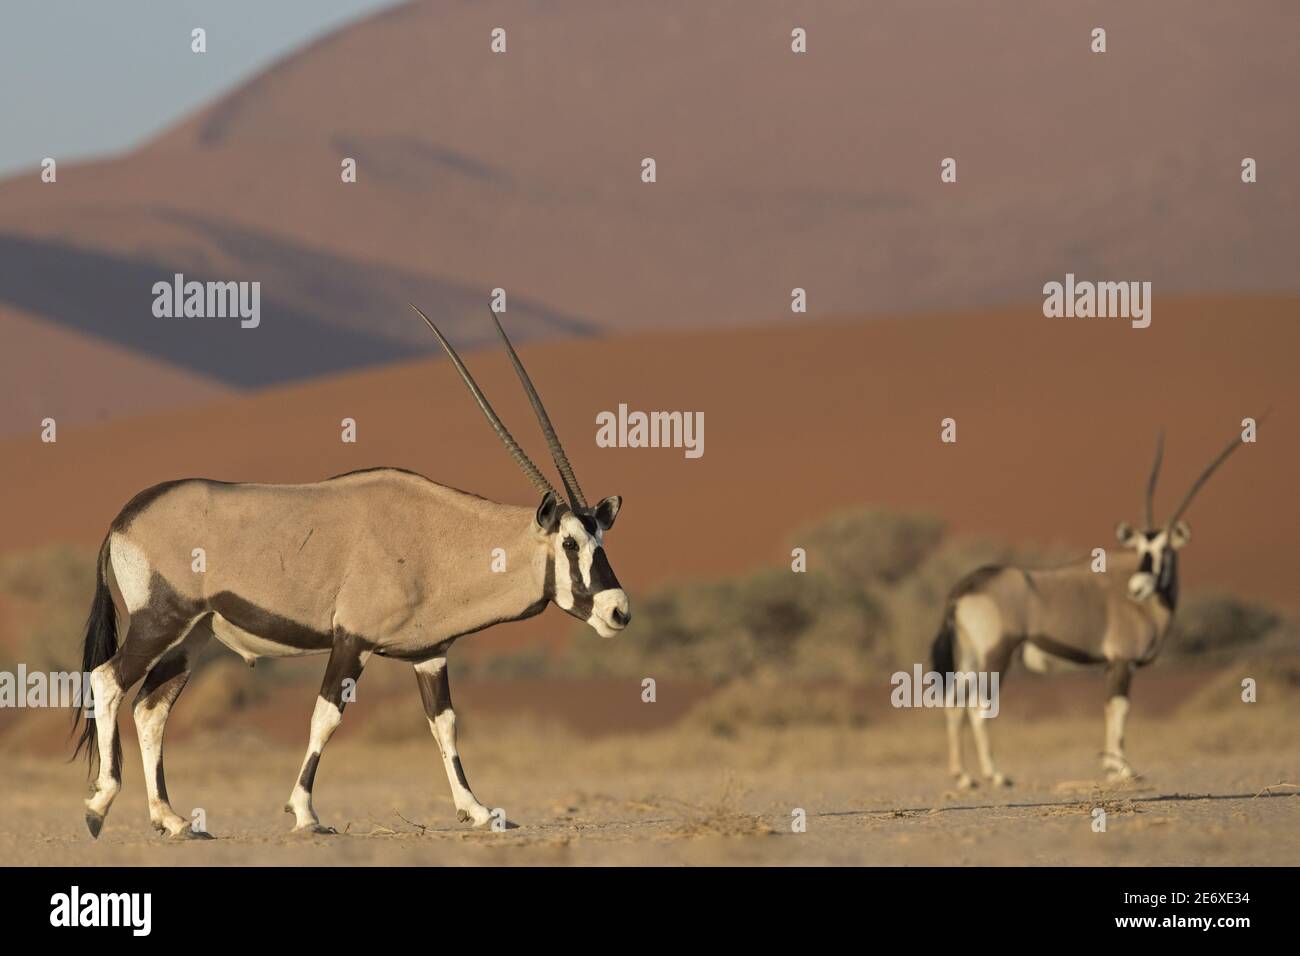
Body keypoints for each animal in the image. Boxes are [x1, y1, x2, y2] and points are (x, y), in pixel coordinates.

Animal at [72, 306, 629, 839]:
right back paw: (99, 804)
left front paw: (477, 809)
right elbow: (326, 717)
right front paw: (305, 813)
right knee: (108, 679)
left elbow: (445, 723)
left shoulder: (429, 654)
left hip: (193, 636)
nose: (618, 611)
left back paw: (171, 819)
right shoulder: (352, 639)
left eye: (602, 539)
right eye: (570, 542)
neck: (435, 536)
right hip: (161, 619)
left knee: (151, 707)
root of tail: (123, 519)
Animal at [931, 420, 1263, 788]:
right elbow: (1119, 709)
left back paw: (963, 776)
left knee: (955, 702)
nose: (1138, 587)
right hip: (996, 654)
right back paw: (996, 774)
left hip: (968, 656)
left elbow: (1108, 710)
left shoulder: (1110, 665)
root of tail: (963, 589)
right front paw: (1122, 769)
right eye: (1142, 550)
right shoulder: (1122, 661)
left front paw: (1111, 766)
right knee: (978, 706)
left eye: (1164, 551)